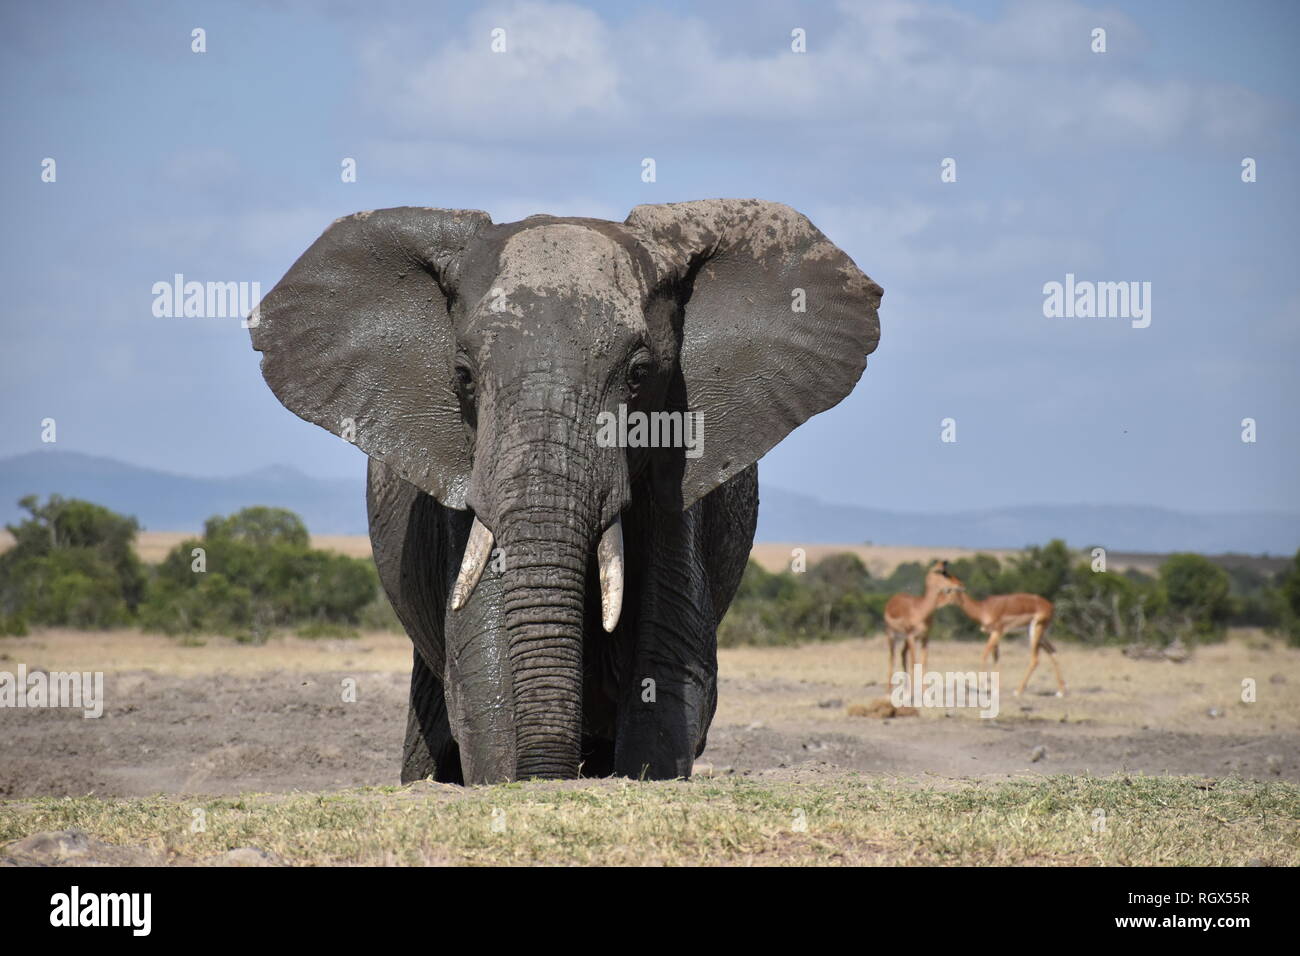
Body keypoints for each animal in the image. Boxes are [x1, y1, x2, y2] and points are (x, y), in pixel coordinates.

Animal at [250, 199, 881, 784]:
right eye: (463, 377)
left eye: (640, 374)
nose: (553, 772)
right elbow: (480, 659)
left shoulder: (679, 464)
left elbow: (674, 657)